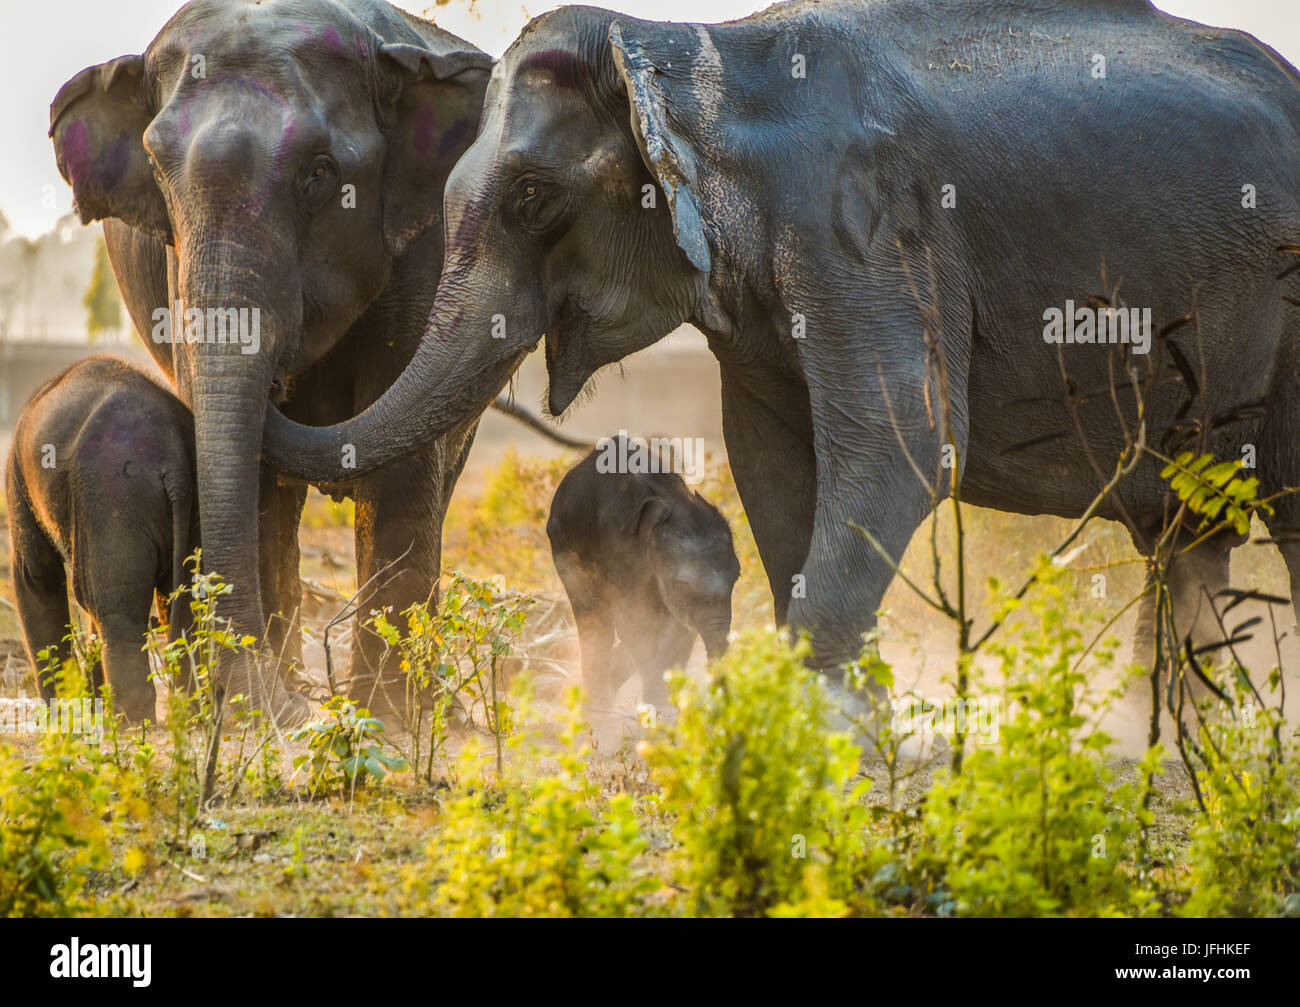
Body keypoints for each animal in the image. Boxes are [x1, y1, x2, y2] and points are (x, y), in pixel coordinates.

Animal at [5, 357, 199, 723]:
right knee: (183, 604)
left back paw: (128, 724)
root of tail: (175, 465)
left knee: (112, 609)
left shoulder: (17, 482)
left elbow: (36, 575)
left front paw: (59, 716)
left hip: (114, 499)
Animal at [49, 0, 502, 723]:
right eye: (156, 168)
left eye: (319, 173)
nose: (267, 701)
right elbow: (251, 471)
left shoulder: (429, 243)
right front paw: (262, 708)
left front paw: (386, 721)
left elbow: (403, 456)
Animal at [261, 0, 1300, 680]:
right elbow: (769, 467)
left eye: (530, 197)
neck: (700, 51)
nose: (275, 377)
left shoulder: (872, 224)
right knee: (1190, 539)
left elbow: (901, 448)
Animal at [547, 435, 739, 712]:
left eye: (737, 576)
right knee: (594, 619)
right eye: (683, 584)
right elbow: (634, 623)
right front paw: (657, 705)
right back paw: (596, 708)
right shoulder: (619, 548)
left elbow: (679, 626)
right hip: (564, 544)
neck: (673, 502)